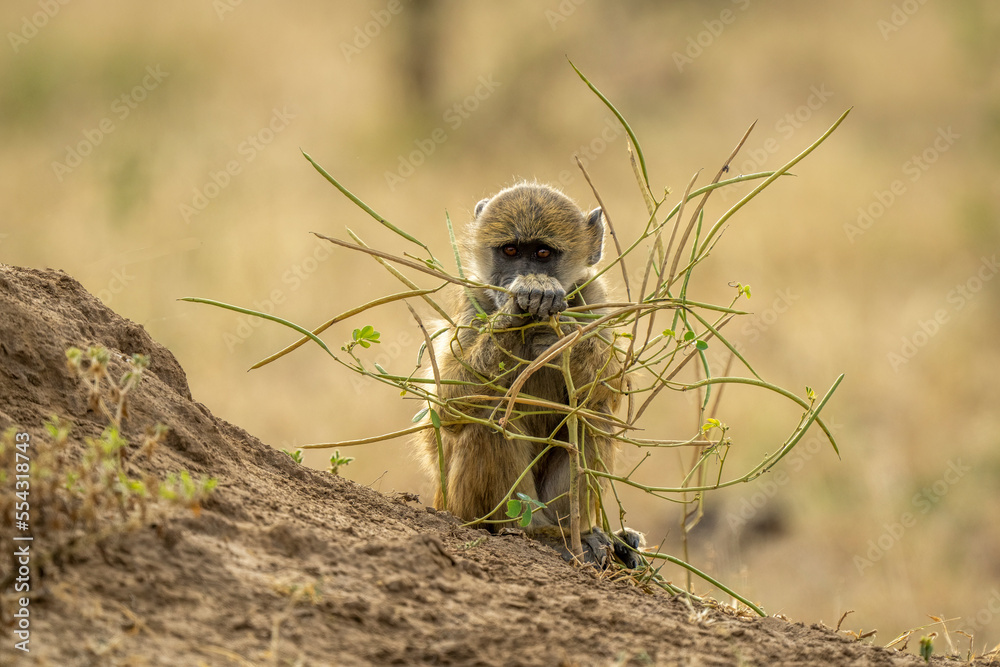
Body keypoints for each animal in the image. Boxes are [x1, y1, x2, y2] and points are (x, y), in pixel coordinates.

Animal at [418, 181, 644, 568]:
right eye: (510, 250)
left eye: (542, 253)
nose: (523, 279)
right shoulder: (474, 297)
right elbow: (447, 405)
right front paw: (519, 307)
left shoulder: (592, 292)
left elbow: (614, 389)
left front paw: (562, 336)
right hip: (459, 507)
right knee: (491, 416)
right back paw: (537, 534)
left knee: (590, 416)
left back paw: (581, 535)